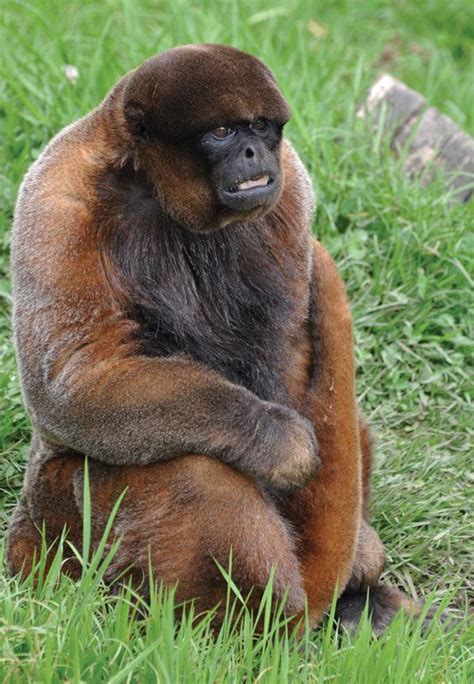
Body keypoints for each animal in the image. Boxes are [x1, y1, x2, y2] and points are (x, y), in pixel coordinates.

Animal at [6, 44, 436, 634]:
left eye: (260, 127)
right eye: (223, 131)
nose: (255, 151)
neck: (151, 186)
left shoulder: (291, 187)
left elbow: (288, 349)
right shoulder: (57, 196)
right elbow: (75, 380)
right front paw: (273, 440)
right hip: (57, 521)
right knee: (192, 472)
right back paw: (248, 627)